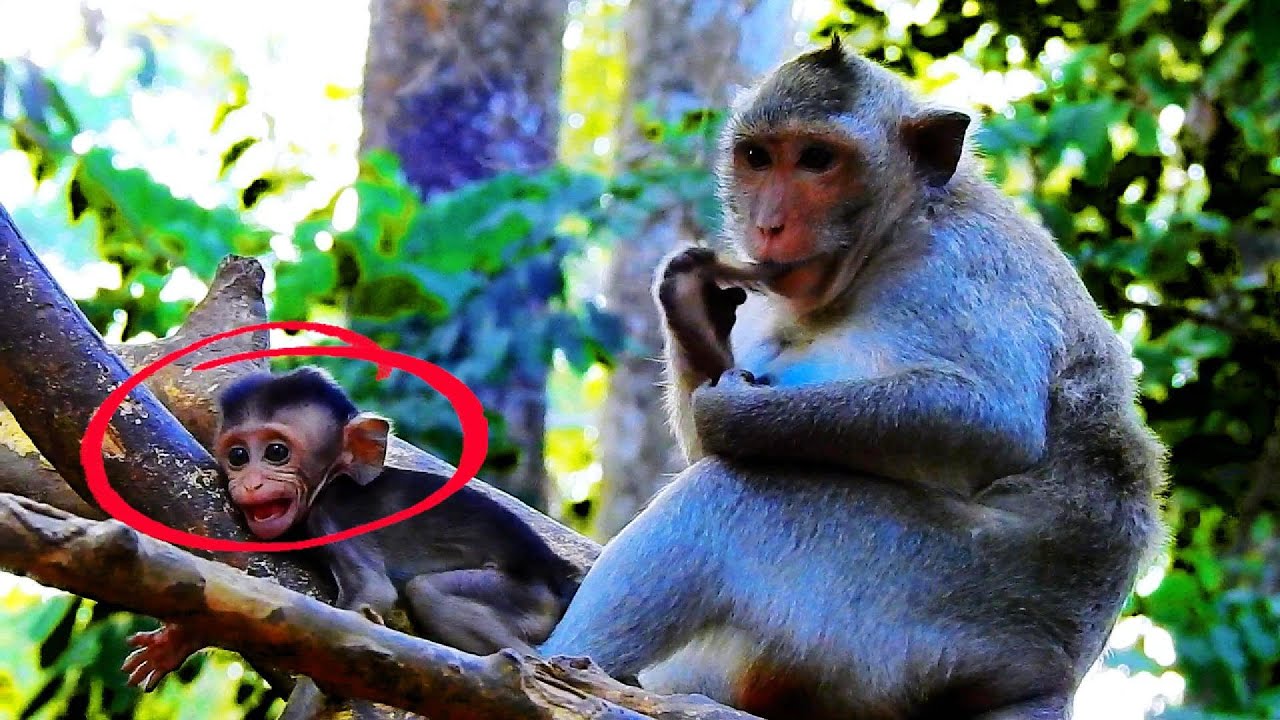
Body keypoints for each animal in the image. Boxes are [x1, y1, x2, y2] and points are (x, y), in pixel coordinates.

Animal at [121, 367, 578, 717]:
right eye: (237, 456)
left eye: (275, 452)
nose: (249, 482)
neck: (332, 480)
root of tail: (557, 578)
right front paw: (180, 639)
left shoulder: (332, 516)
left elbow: (365, 604)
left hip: (528, 599)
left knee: (431, 594)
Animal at [539, 36, 1166, 720]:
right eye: (757, 158)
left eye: (817, 161)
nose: (768, 226)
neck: (893, 238)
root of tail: (1050, 679)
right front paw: (689, 303)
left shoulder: (965, 268)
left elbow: (994, 422)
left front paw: (734, 414)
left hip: (921, 604)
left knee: (736, 497)